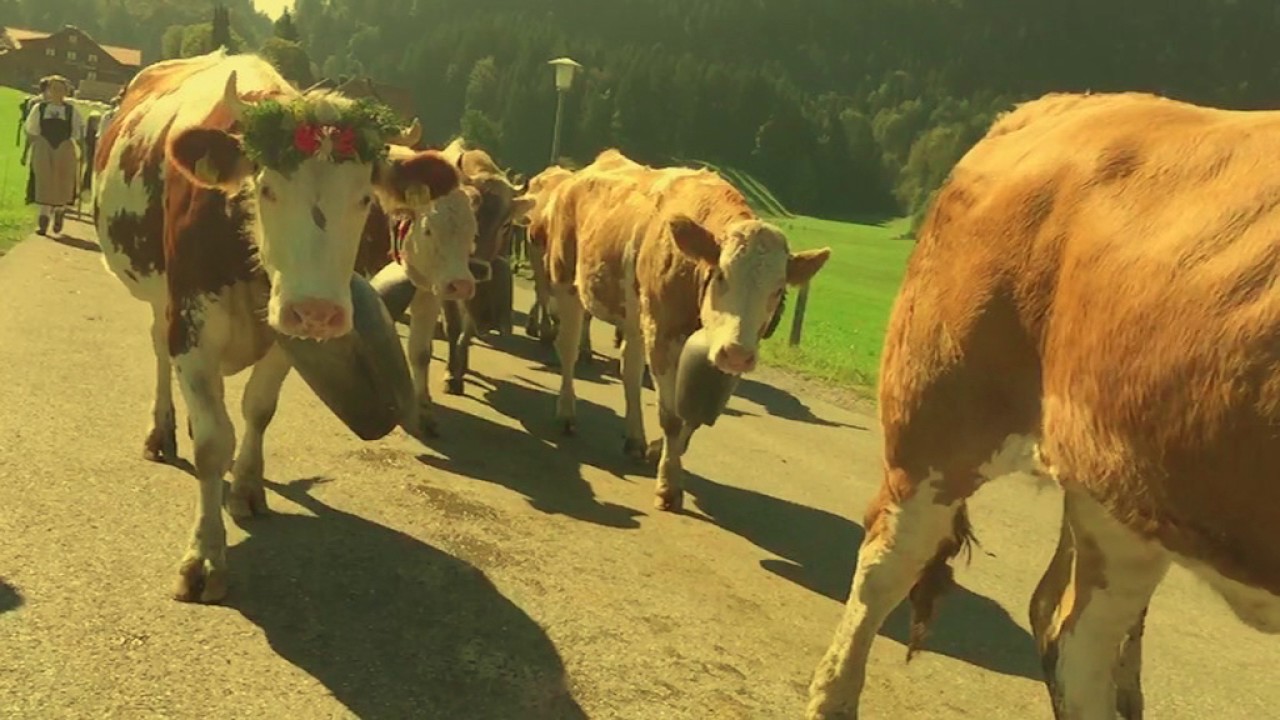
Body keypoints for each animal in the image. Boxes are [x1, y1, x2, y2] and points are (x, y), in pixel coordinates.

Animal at [92, 49, 460, 603]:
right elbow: (211, 443)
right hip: (159, 298)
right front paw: (204, 556)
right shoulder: (191, 326)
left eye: (365, 199)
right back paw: (161, 431)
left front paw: (247, 486)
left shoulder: (285, 337)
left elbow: (258, 410)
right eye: (265, 188)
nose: (318, 312)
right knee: (158, 351)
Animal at [542, 149, 830, 511]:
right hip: (566, 279)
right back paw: (566, 413)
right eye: (721, 274)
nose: (737, 353)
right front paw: (667, 486)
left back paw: (635, 438)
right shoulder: (664, 333)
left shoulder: (715, 356)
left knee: (630, 369)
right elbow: (672, 416)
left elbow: (692, 416)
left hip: (636, 317)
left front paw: (659, 453)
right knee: (567, 349)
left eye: (778, 290)